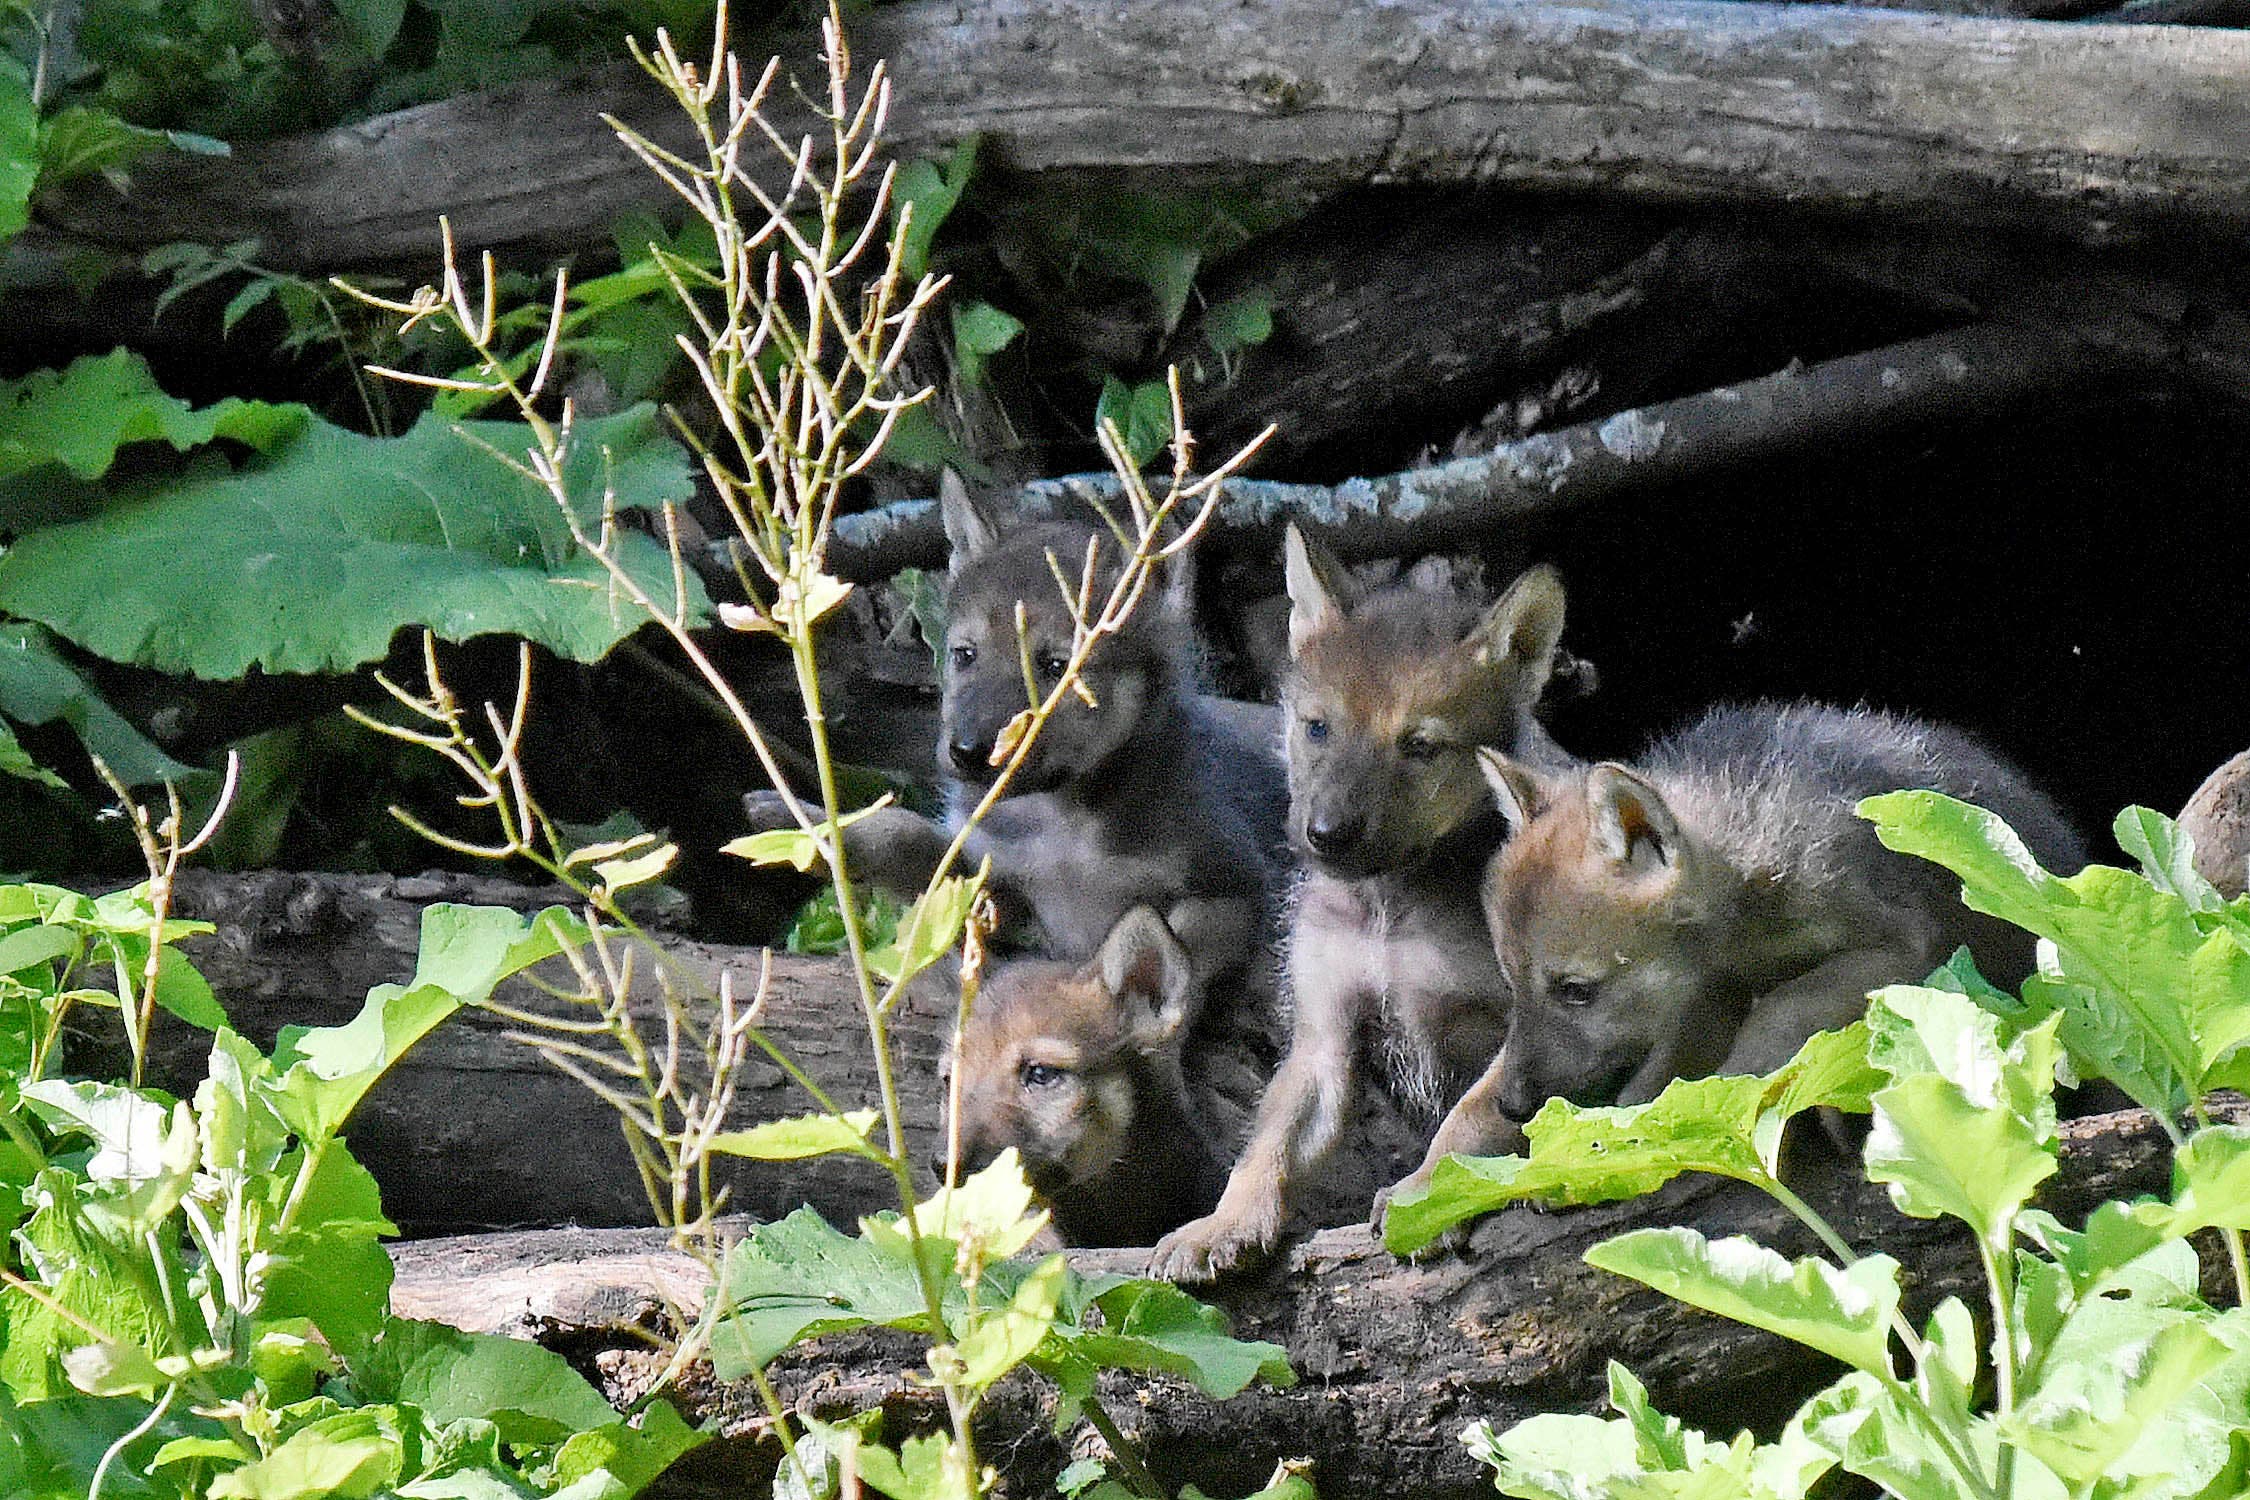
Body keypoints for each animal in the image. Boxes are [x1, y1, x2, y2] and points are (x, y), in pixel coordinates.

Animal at [745, 472, 1288, 1008]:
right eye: (965, 654)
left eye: (1056, 666)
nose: (967, 752)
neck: (1062, 823)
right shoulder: (993, 879)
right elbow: (905, 832)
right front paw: (815, 832)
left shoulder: (1233, 886)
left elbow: (1178, 954)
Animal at [1150, 525, 1572, 1281]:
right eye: (1317, 727)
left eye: (1421, 746)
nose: (1325, 834)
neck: (1388, 909)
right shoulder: (1325, 1034)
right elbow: (1266, 1144)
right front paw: (1222, 1226)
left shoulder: (1523, 1021)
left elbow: (1470, 1117)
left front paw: (1428, 1193)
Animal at [1475, 701, 2086, 1117]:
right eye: (1510, 984)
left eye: (1576, 990)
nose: (1510, 1105)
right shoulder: (1710, 985)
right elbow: (1676, 1053)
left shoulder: (1905, 945)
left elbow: (1780, 1011)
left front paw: (1735, 1087)